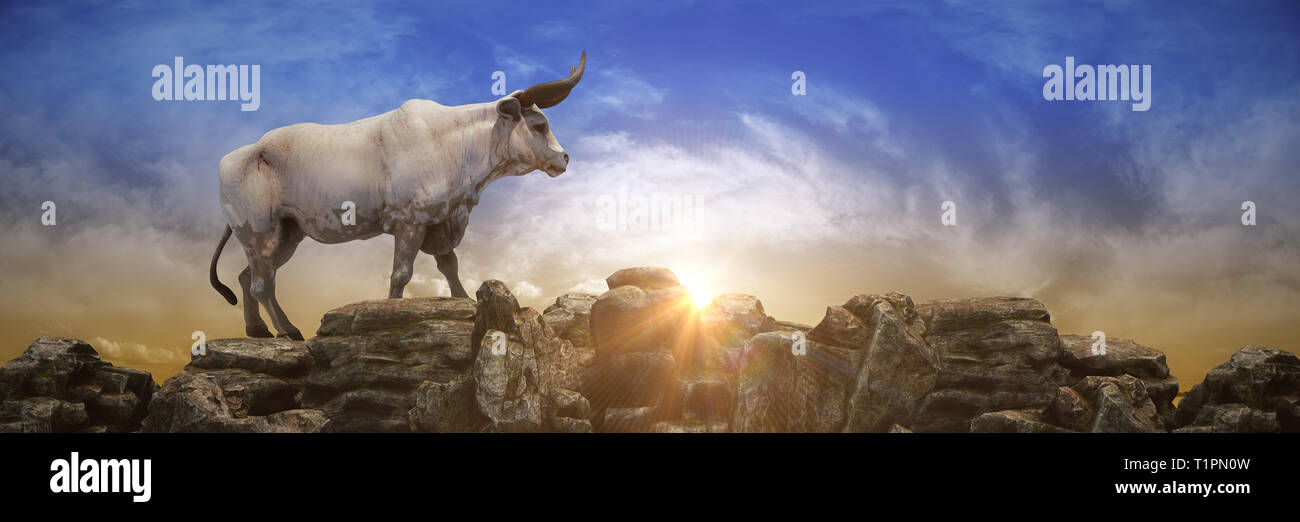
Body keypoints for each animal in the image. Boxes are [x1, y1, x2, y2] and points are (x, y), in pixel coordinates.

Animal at [209, 52, 586, 340]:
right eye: (539, 126)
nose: (564, 158)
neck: (453, 145)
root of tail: (233, 157)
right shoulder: (410, 221)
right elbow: (401, 274)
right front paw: (391, 314)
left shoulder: (438, 219)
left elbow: (450, 266)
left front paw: (465, 303)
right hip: (260, 230)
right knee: (262, 283)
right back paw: (287, 330)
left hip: (288, 232)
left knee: (250, 277)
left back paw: (257, 329)